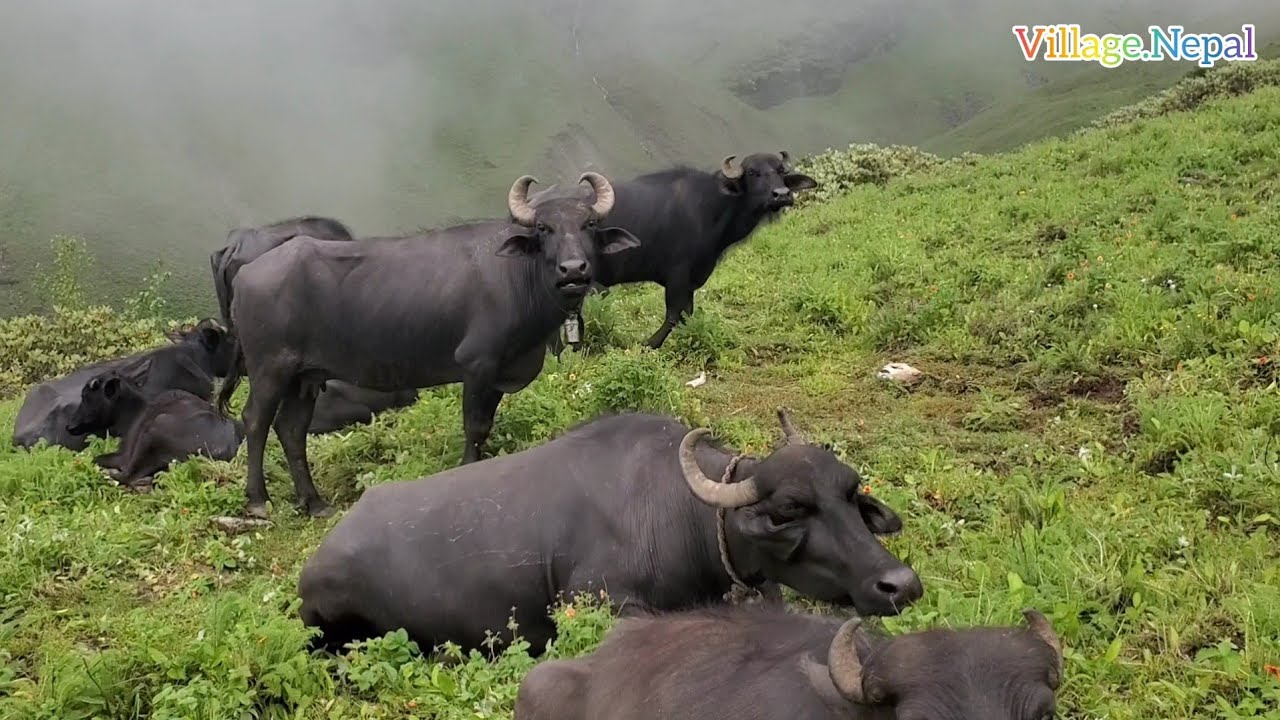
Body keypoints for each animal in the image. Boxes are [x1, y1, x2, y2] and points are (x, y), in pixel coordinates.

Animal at [216, 172, 640, 518]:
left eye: (588, 224)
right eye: (543, 228)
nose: (573, 270)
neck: (518, 279)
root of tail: (248, 271)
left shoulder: (499, 371)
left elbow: (487, 424)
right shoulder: (477, 364)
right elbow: (474, 425)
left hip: (305, 377)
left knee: (291, 429)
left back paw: (314, 502)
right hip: (270, 368)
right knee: (255, 421)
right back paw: (258, 500)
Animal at [295, 409, 922, 657]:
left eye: (851, 493)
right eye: (790, 508)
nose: (900, 584)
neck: (681, 517)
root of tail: (314, 564)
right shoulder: (599, 602)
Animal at [533, 152, 817, 351]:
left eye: (780, 171)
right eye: (752, 172)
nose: (781, 194)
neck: (712, 205)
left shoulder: (691, 279)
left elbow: (686, 314)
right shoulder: (677, 275)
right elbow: (673, 315)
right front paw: (649, 344)